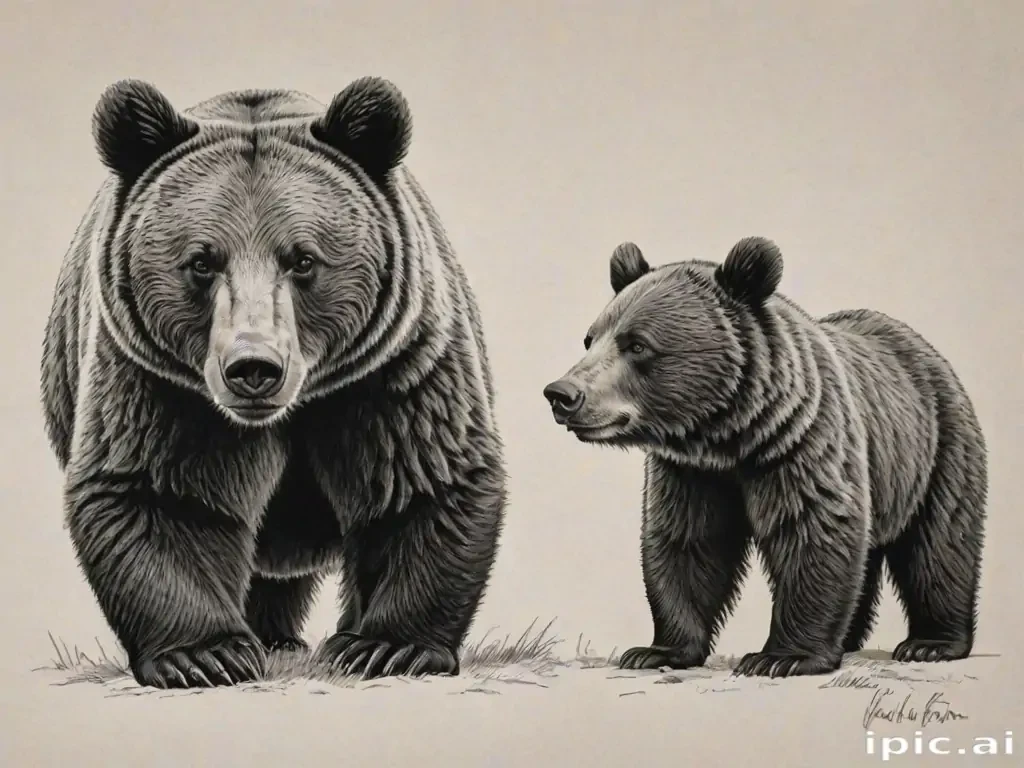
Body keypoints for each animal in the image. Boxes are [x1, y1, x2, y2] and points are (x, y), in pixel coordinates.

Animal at [40, 77, 507, 689]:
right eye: (201, 261)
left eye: (303, 259)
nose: (254, 367)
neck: (299, 401)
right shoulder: (162, 384)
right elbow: (162, 492)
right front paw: (205, 655)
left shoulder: (393, 368)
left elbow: (418, 479)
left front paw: (386, 647)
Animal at [542, 237, 987, 678]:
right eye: (590, 339)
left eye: (637, 344)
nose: (561, 394)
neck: (728, 437)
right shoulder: (690, 473)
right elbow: (687, 543)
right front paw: (657, 650)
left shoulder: (800, 445)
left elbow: (813, 530)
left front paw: (782, 656)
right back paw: (849, 639)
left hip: (937, 448)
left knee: (939, 546)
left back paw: (930, 643)